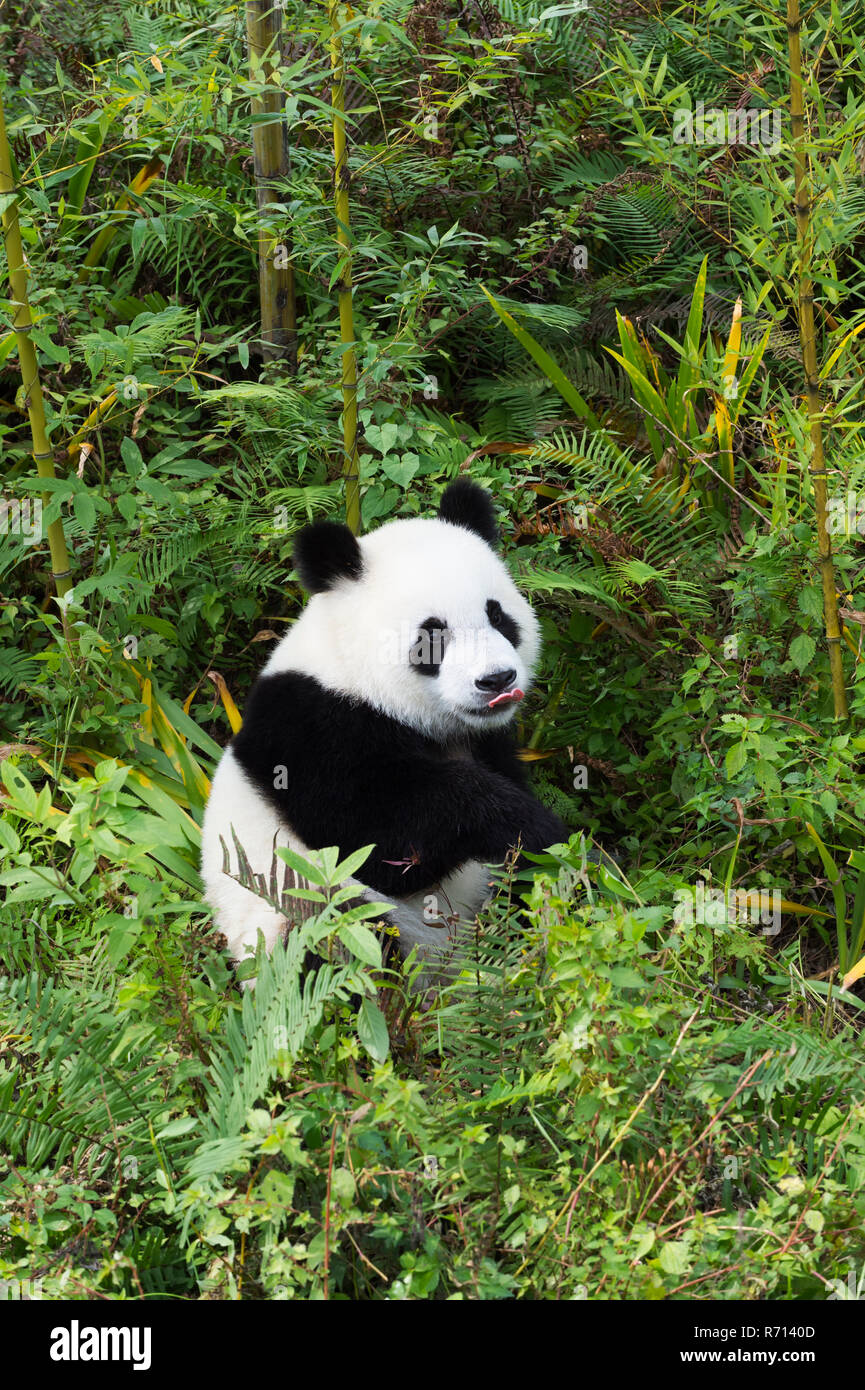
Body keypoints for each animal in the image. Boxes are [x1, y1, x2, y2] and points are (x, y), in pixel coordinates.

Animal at [200, 479, 568, 982]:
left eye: (498, 617)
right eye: (432, 635)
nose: (497, 680)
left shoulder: (486, 739)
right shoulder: (312, 732)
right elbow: (377, 842)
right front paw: (532, 827)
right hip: (289, 912)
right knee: (336, 940)